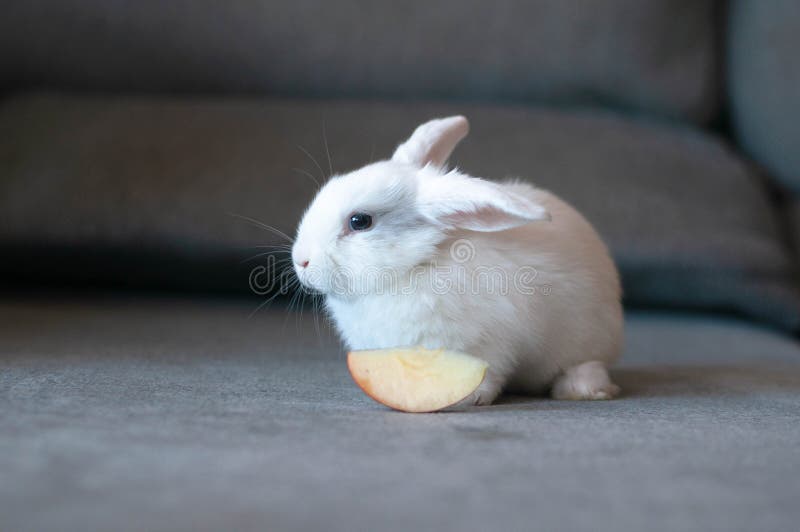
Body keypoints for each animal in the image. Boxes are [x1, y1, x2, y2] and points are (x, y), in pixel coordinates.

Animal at [292, 116, 622, 405]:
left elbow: (488, 372)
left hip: (586, 339)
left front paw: (469, 398)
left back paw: (583, 389)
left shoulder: (488, 343)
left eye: (360, 221)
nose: (300, 261)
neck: (418, 264)